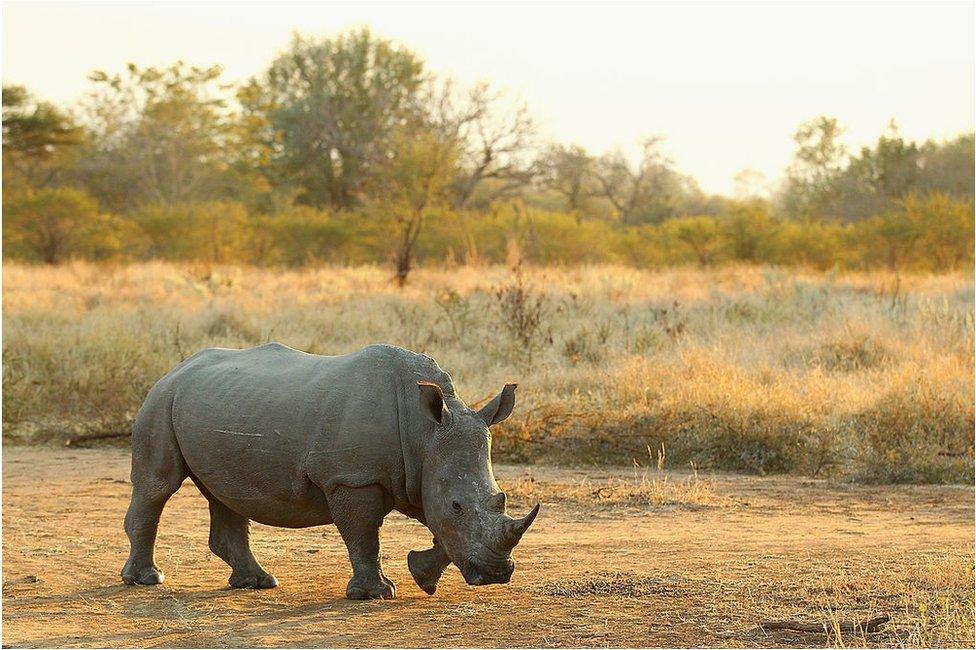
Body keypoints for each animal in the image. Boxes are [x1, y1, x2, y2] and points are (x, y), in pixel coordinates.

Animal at [121, 343, 539, 599]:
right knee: (158, 486)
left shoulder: (424, 470)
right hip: (161, 400)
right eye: (457, 505)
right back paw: (147, 579)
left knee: (225, 493)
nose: (497, 575)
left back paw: (258, 583)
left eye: (499, 500)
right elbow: (364, 534)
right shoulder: (353, 477)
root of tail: (176, 368)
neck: (425, 433)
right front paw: (377, 593)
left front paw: (422, 577)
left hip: (218, 403)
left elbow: (440, 532)